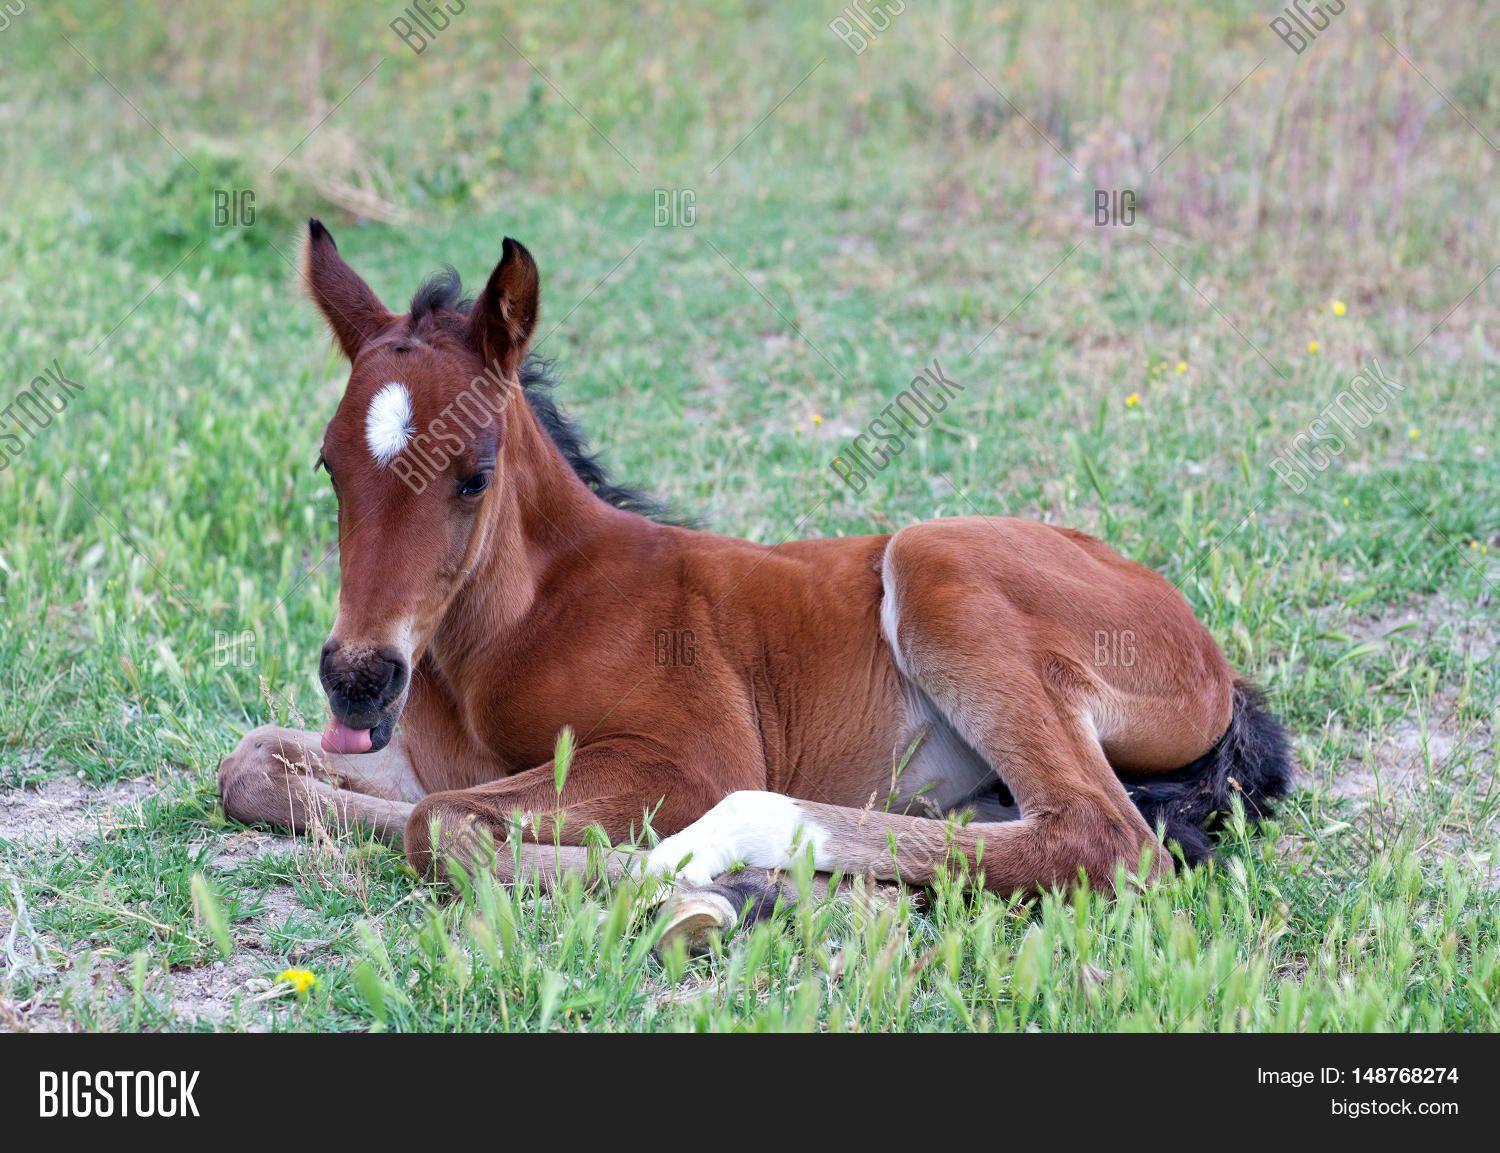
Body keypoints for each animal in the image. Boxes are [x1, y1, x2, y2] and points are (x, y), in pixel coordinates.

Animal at [218, 221, 1292, 939]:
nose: (358, 680)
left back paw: (730, 864)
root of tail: (1209, 652)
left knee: (1100, 837)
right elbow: (258, 769)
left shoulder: (682, 756)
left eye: (473, 474)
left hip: (934, 565)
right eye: (328, 466)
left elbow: (437, 826)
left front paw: (703, 890)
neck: (522, 623)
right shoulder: (421, 761)